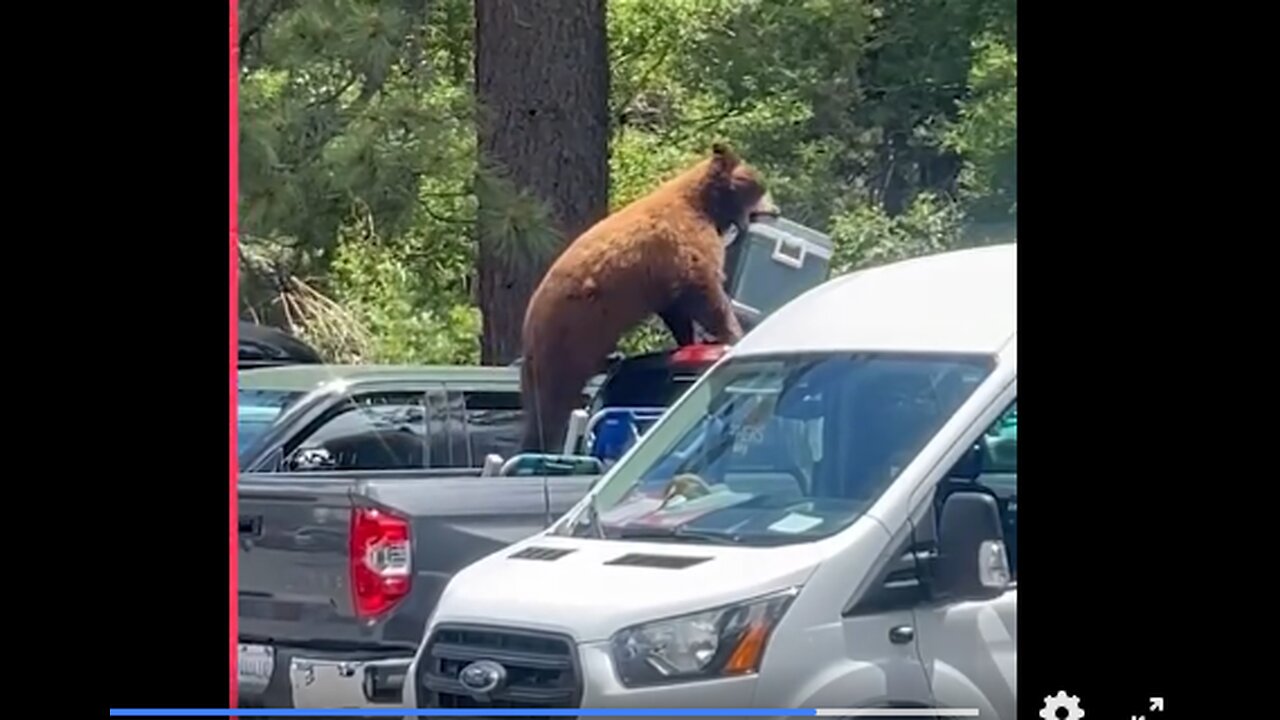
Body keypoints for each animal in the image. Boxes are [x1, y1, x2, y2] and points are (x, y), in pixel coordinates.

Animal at [518, 143, 777, 453]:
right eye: (761, 187)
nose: (775, 211)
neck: (705, 204)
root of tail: (528, 330)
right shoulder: (686, 246)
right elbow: (705, 292)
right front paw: (732, 333)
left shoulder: (665, 280)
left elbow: (677, 310)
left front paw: (690, 340)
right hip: (571, 336)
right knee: (553, 403)